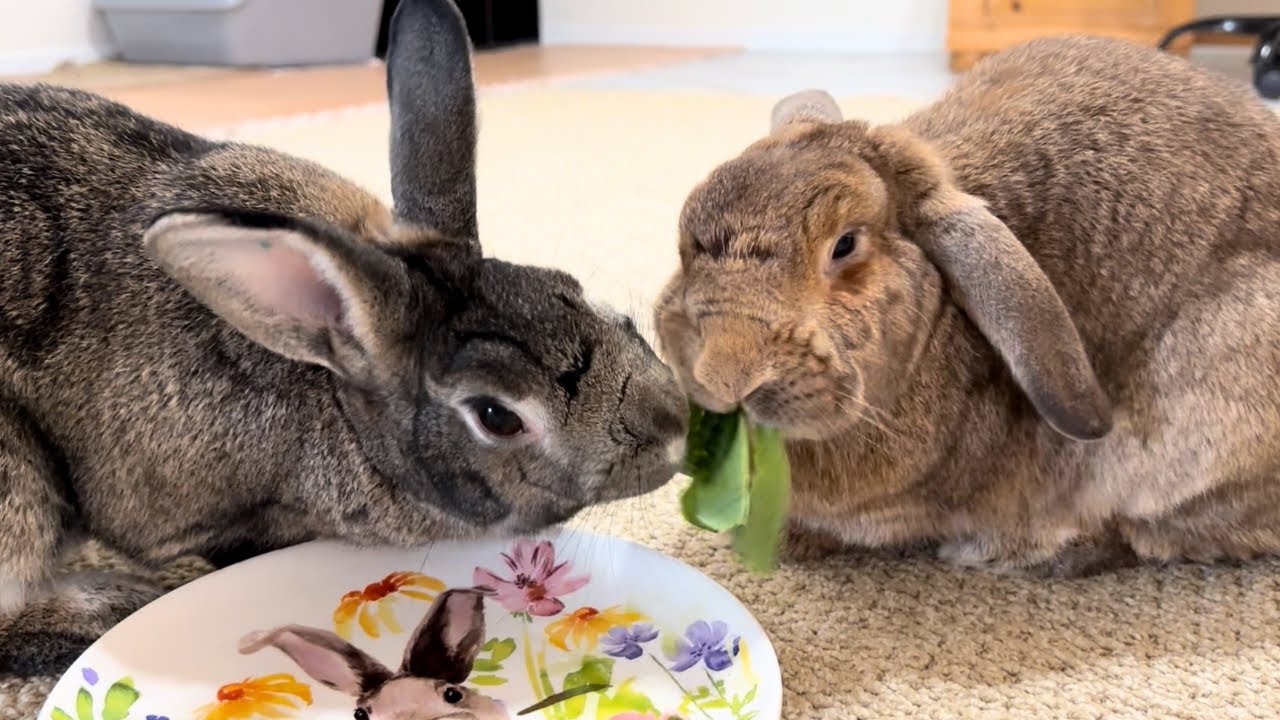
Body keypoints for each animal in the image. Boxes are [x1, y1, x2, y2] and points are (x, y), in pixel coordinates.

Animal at [0, 0, 686, 675]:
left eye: (572, 291)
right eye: (497, 416)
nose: (674, 427)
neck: (339, 391)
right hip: (19, 483)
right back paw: (106, 606)